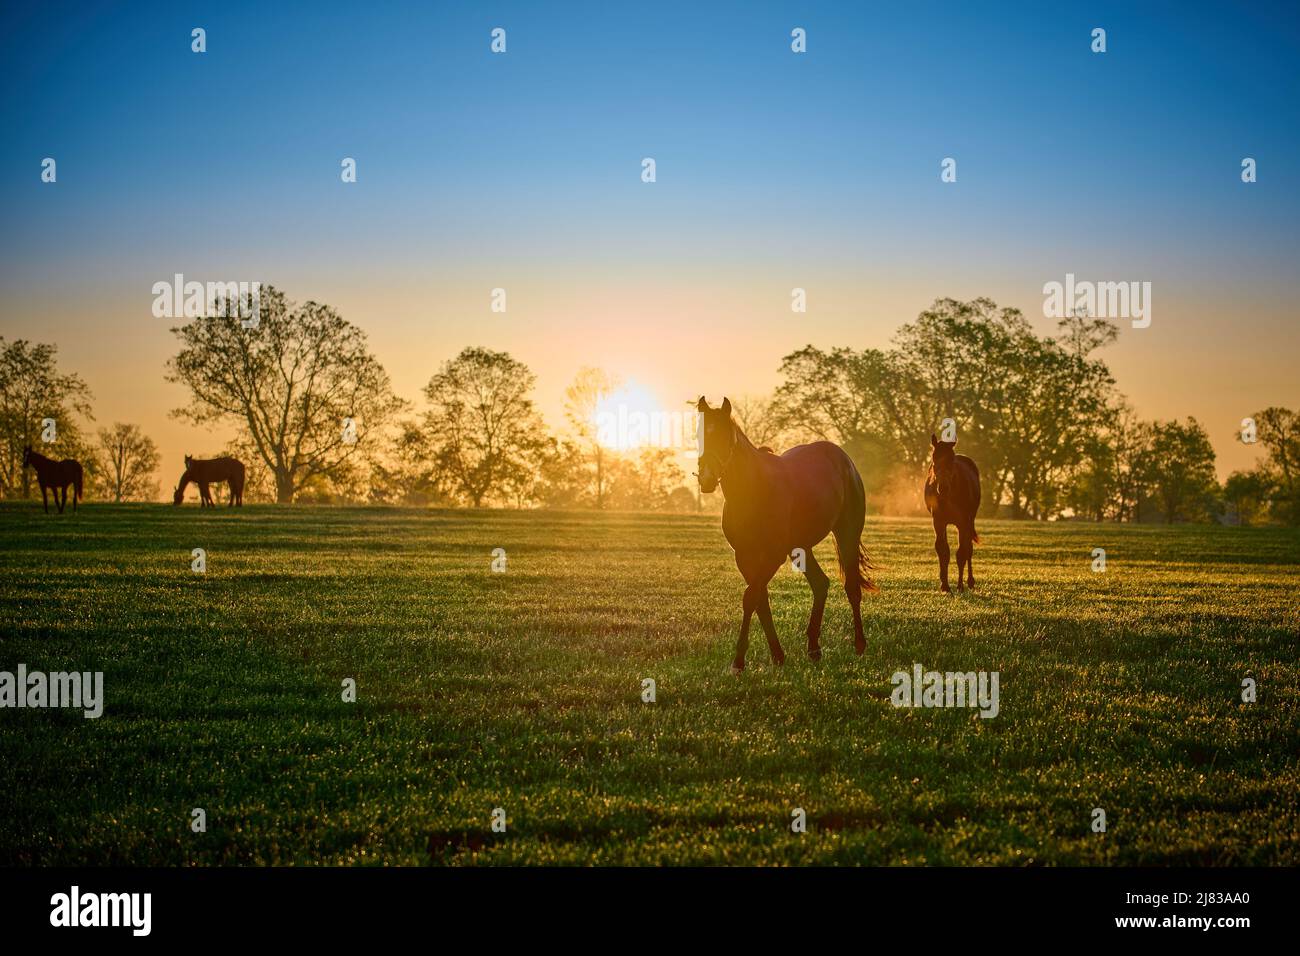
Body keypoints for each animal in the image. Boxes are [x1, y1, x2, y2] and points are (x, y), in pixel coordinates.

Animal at [696, 396, 876, 673]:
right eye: (700, 434)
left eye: (725, 436)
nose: (706, 478)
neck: (753, 488)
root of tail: (844, 460)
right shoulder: (744, 556)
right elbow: (760, 600)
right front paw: (777, 655)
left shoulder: (773, 555)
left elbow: (751, 597)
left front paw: (739, 660)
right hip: (800, 548)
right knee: (820, 584)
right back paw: (813, 648)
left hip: (847, 534)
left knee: (852, 588)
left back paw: (859, 644)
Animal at [923, 434, 981, 592]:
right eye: (934, 460)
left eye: (952, 460)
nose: (943, 488)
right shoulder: (938, 521)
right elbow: (942, 550)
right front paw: (944, 584)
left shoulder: (963, 522)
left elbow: (961, 553)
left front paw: (960, 585)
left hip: (970, 521)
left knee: (969, 549)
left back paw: (970, 581)